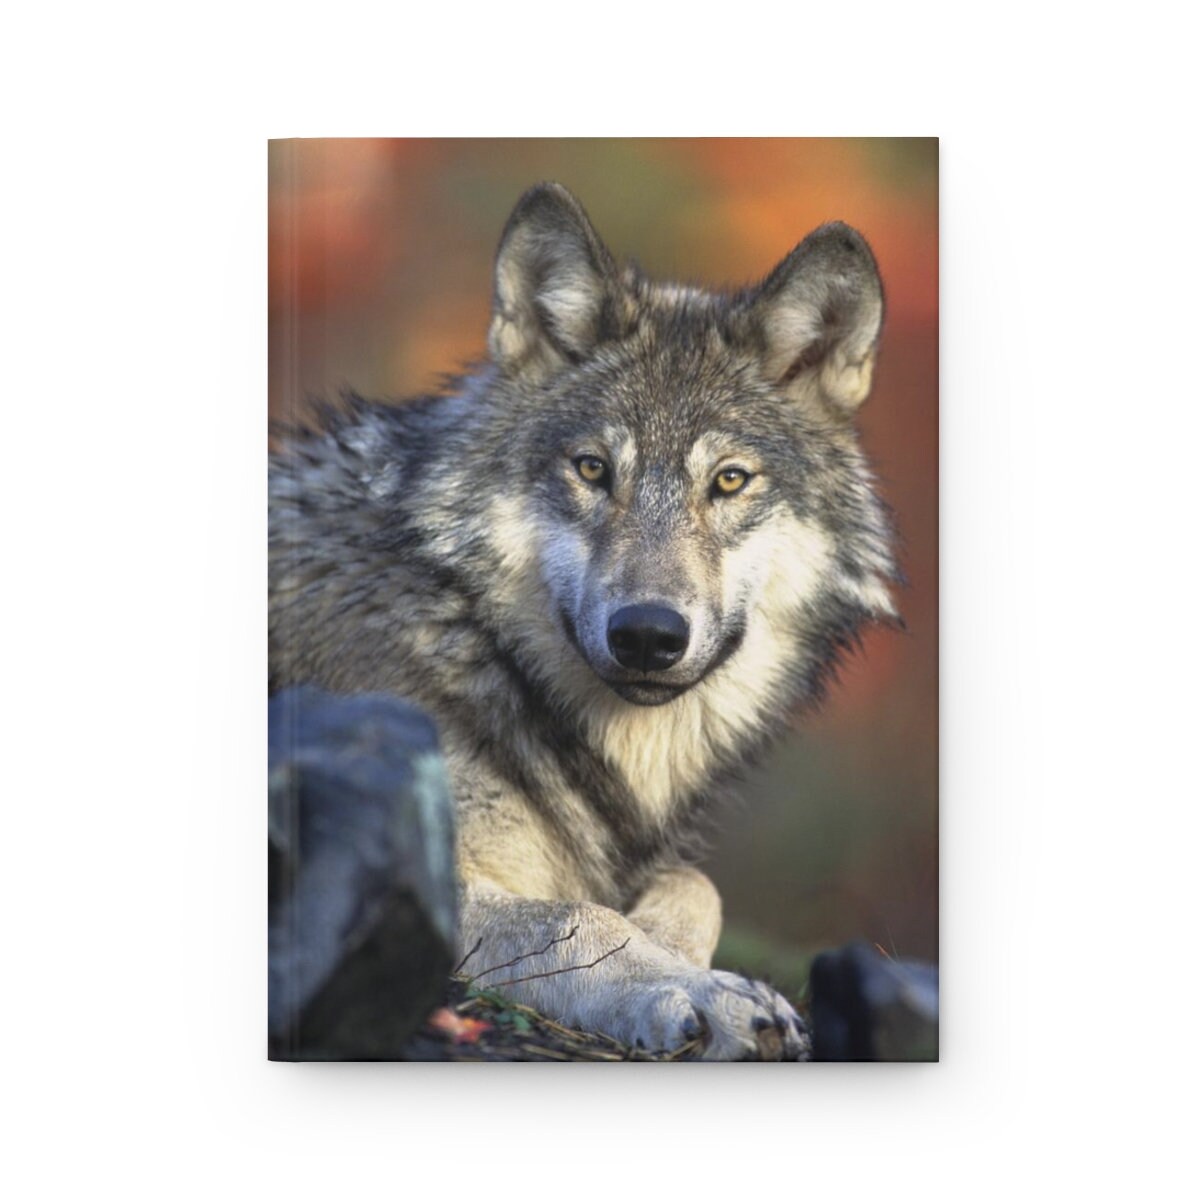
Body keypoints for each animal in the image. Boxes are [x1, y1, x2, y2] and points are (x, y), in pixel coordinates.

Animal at [269, 182, 899, 1060]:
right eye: (594, 470)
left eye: (729, 481)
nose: (648, 634)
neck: (474, 640)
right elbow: (575, 915)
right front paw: (702, 991)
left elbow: (695, 883)